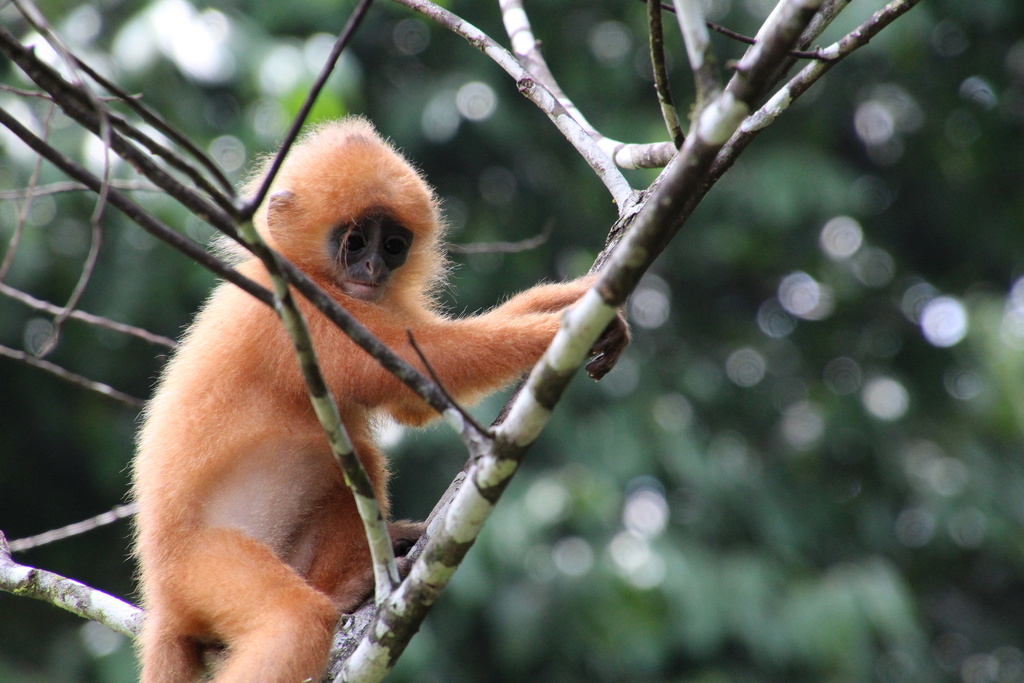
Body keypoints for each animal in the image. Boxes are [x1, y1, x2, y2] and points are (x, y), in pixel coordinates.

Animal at [132, 117, 628, 683]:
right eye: (353, 242)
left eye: (393, 244)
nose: (371, 267)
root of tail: (161, 597)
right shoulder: (299, 309)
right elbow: (418, 365)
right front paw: (571, 326)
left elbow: (418, 391)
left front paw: (581, 293)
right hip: (201, 567)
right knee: (295, 617)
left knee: (353, 462)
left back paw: (350, 582)